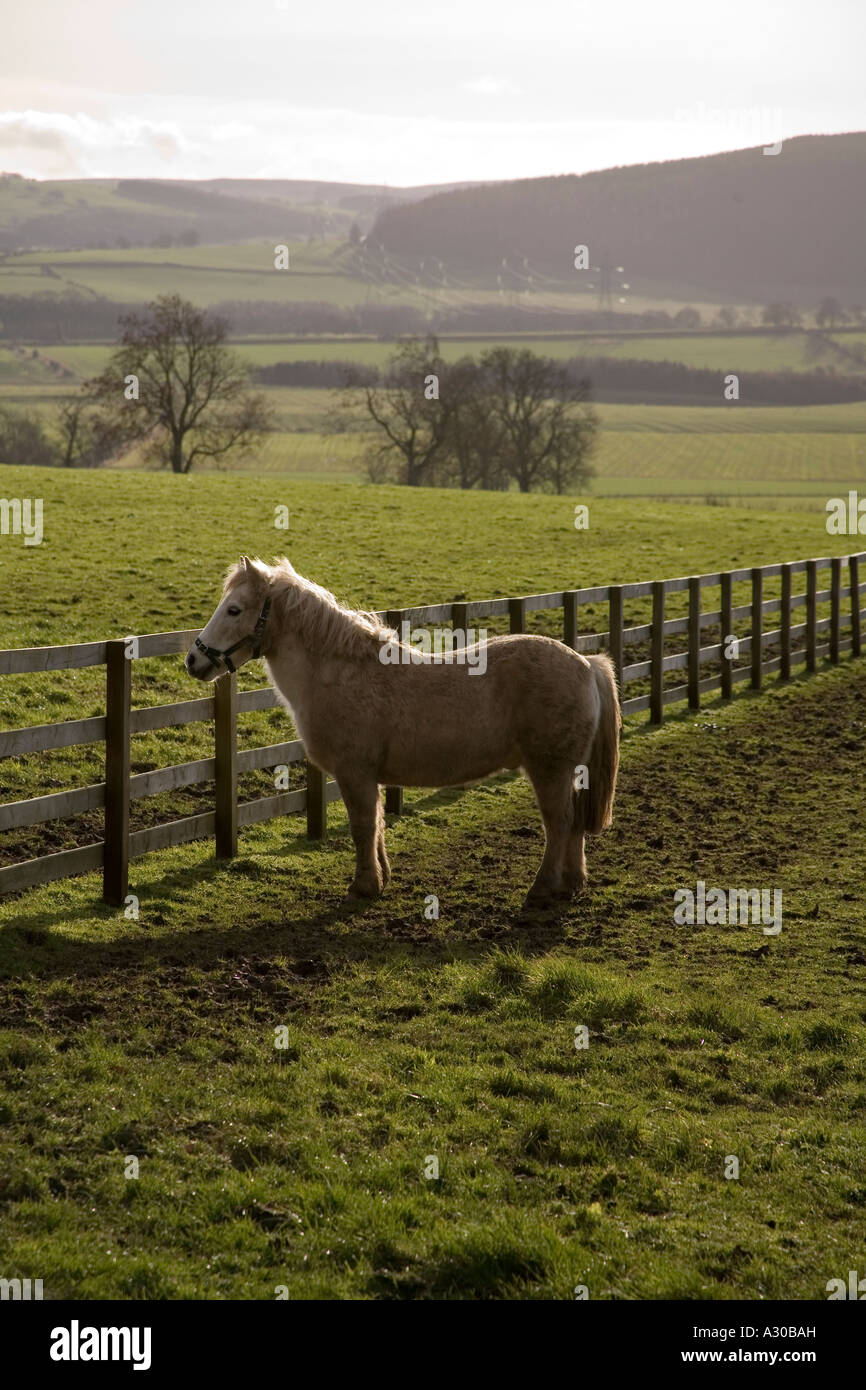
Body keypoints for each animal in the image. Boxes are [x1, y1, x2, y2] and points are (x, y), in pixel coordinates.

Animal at [186, 556, 621, 905]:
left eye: (234, 610)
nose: (193, 659)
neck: (341, 673)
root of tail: (586, 664)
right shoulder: (370, 777)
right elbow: (377, 825)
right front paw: (381, 879)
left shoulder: (355, 774)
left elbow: (363, 827)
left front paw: (363, 887)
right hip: (569, 772)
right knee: (575, 823)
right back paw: (571, 884)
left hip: (550, 770)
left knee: (560, 822)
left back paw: (543, 888)